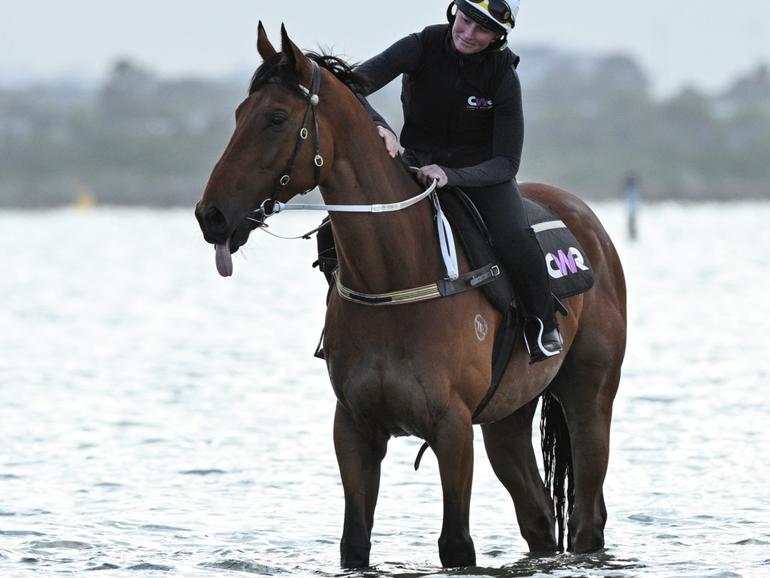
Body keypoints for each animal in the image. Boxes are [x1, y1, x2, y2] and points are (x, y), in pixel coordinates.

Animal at [194, 24, 624, 564]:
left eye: (275, 118)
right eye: (238, 115)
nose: (211, 216)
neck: (394, 275)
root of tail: (589, 224)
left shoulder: (452, 429)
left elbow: (456, 544)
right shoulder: (354, 428)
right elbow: (354, 541)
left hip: (590, 397)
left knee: (588, 518)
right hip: (506, 419)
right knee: (539, 517)